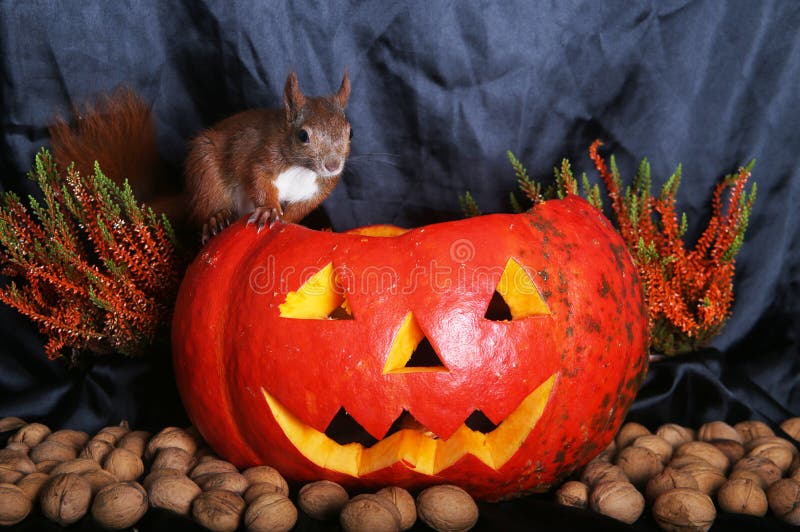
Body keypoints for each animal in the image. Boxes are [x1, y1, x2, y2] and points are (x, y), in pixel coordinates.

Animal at [48, 71, 352, 244]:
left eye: (350, 132)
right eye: (303, 135)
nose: (333, 165)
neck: (303, 169)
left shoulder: (320, 188)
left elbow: (301, 209)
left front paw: (287, 222)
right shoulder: (264, 156)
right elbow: (256, 178)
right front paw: (268, 210)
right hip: (205, 172)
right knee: (207, 205)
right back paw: (216, 218)